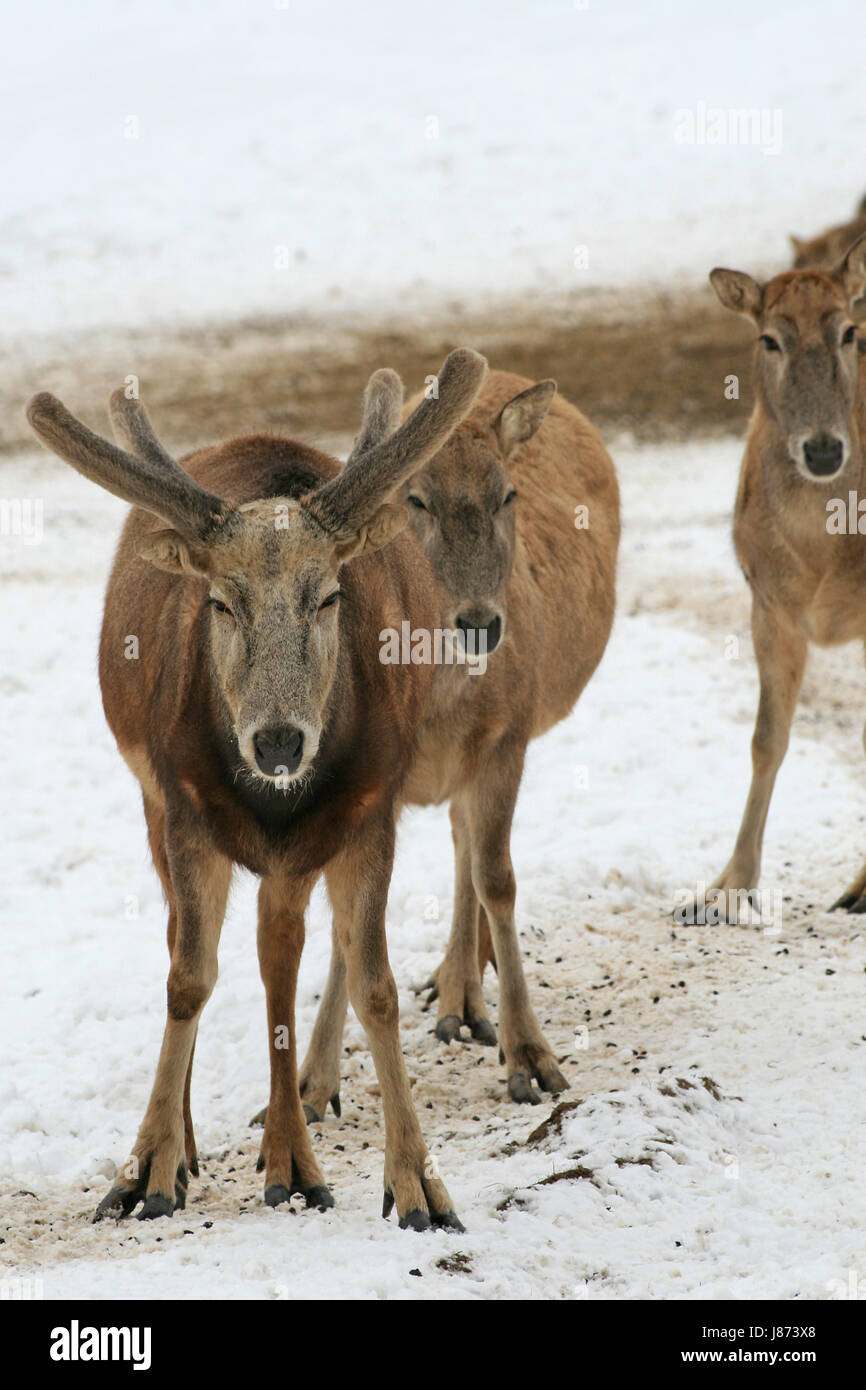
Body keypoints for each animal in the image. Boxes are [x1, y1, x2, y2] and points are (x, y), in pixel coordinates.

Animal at [26, 346, 487, 1230]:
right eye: (219, 602)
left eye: (331, 595)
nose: (277, 740)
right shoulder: (184, 809)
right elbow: (187, 979)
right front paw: (146, 1172)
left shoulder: (369, 814)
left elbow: (375, 988)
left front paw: (419, 1187)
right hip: (155, 804)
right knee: (186, 942)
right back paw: (196, 1146)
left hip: (296, 856)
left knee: (281, 958)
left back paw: (289, 1160)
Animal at [285, 370, 621, 1115]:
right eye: (415, 498)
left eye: (507, 494)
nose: (479, 624)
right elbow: (347, 925)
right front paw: (312, 1085)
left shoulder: (508, 737)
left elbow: (498, 878)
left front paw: (532, 1059)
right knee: (459, 836)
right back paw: (454, 989)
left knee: (471, 845)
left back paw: (466, 993)